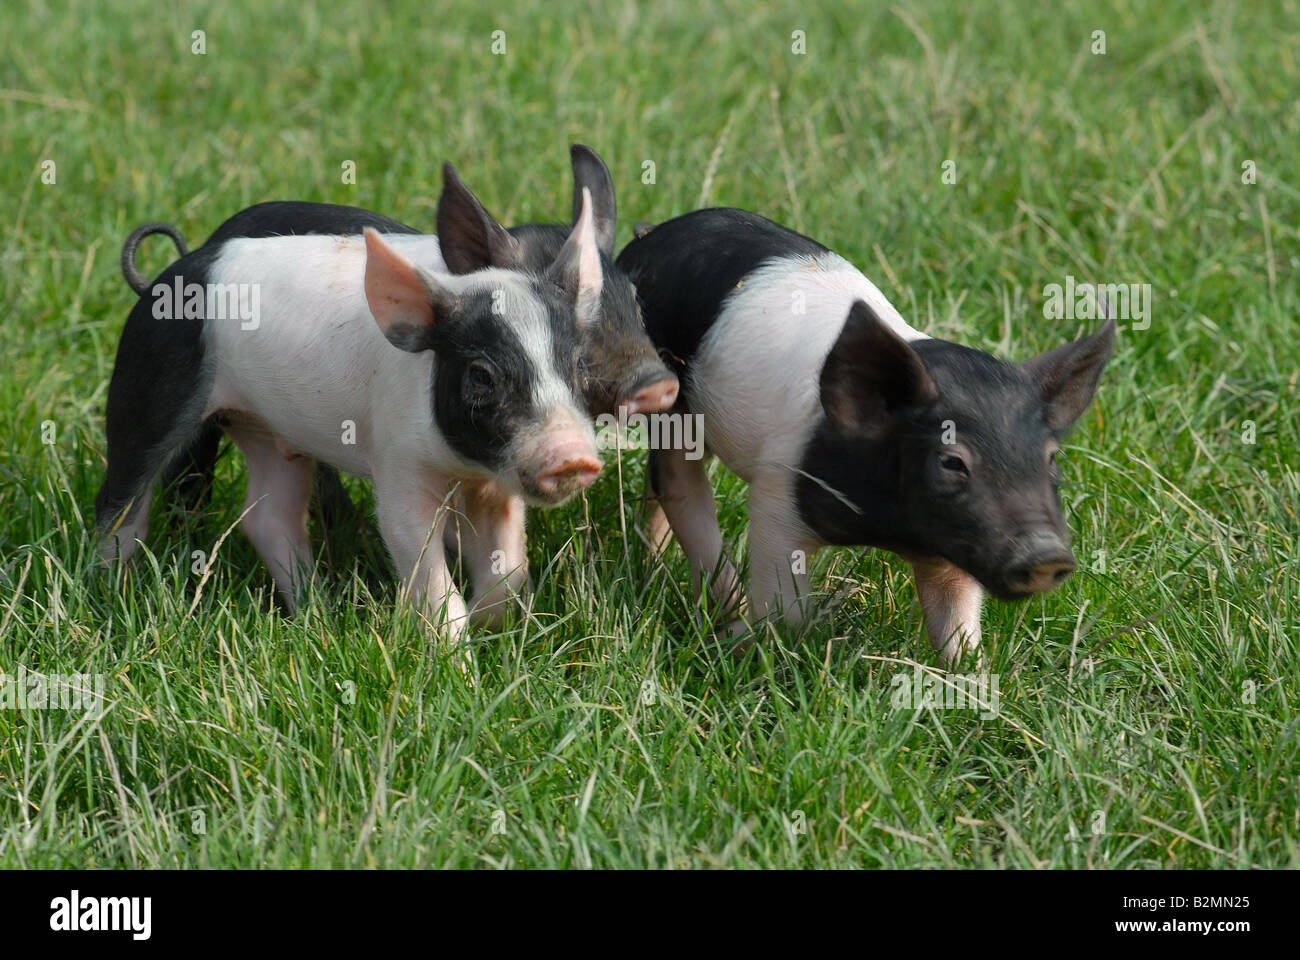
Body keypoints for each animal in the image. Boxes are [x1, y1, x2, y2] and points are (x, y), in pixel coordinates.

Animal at [97, 164, 608, 639]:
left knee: (269, 516)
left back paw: (316, 616)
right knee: (120, 504)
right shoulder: (397, 462)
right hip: (149, 386)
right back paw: (112, 596)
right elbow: (426, 570)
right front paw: (456, 658)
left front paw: (491, 624)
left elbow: (510, 568)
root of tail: (158, 281)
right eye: (482, 375)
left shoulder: (498, 483)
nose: (572, 457)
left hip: (265, 427)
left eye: (579, 365)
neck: (464, 466)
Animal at [617, 208, 1115, 666]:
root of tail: (648, 236)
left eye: (1052, 460)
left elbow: (957, 620)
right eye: (952, 462)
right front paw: (766, 647)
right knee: (681, 486)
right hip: (671, 405)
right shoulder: (777, 491)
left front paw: (967, 679)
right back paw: (721, 615)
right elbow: (786, 605)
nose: (1048, 554)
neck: (890, 530)